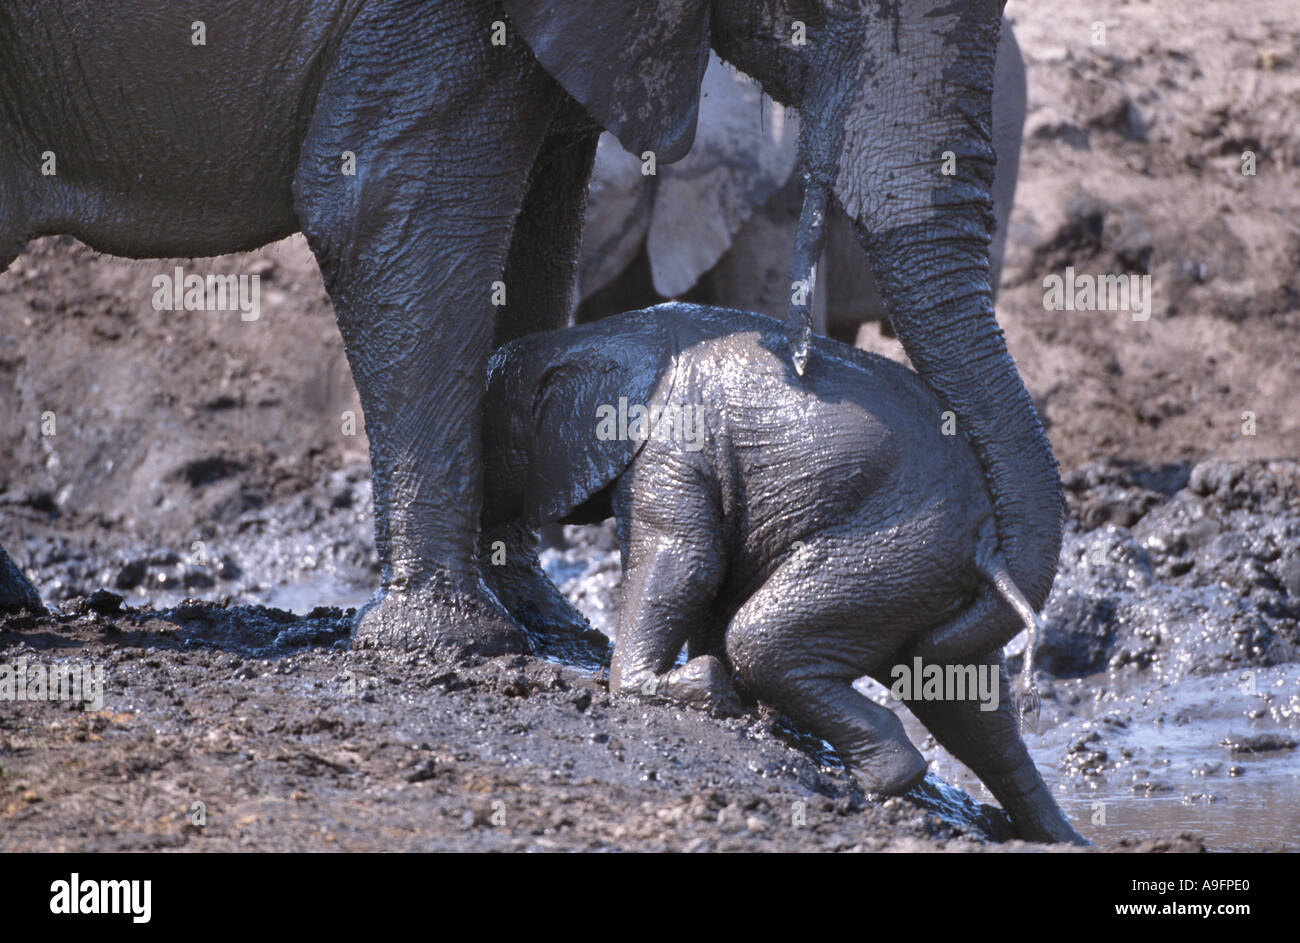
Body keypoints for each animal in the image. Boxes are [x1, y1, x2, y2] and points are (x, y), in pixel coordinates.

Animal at [479, 302, 1084, 844]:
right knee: (967, 700)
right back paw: (1055, 833)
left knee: (763, 640)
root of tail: (985, 538)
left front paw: (650, 687)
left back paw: (878, 783)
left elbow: (682, 557)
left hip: (896, 546)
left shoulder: (670, 445)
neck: (592, 336)